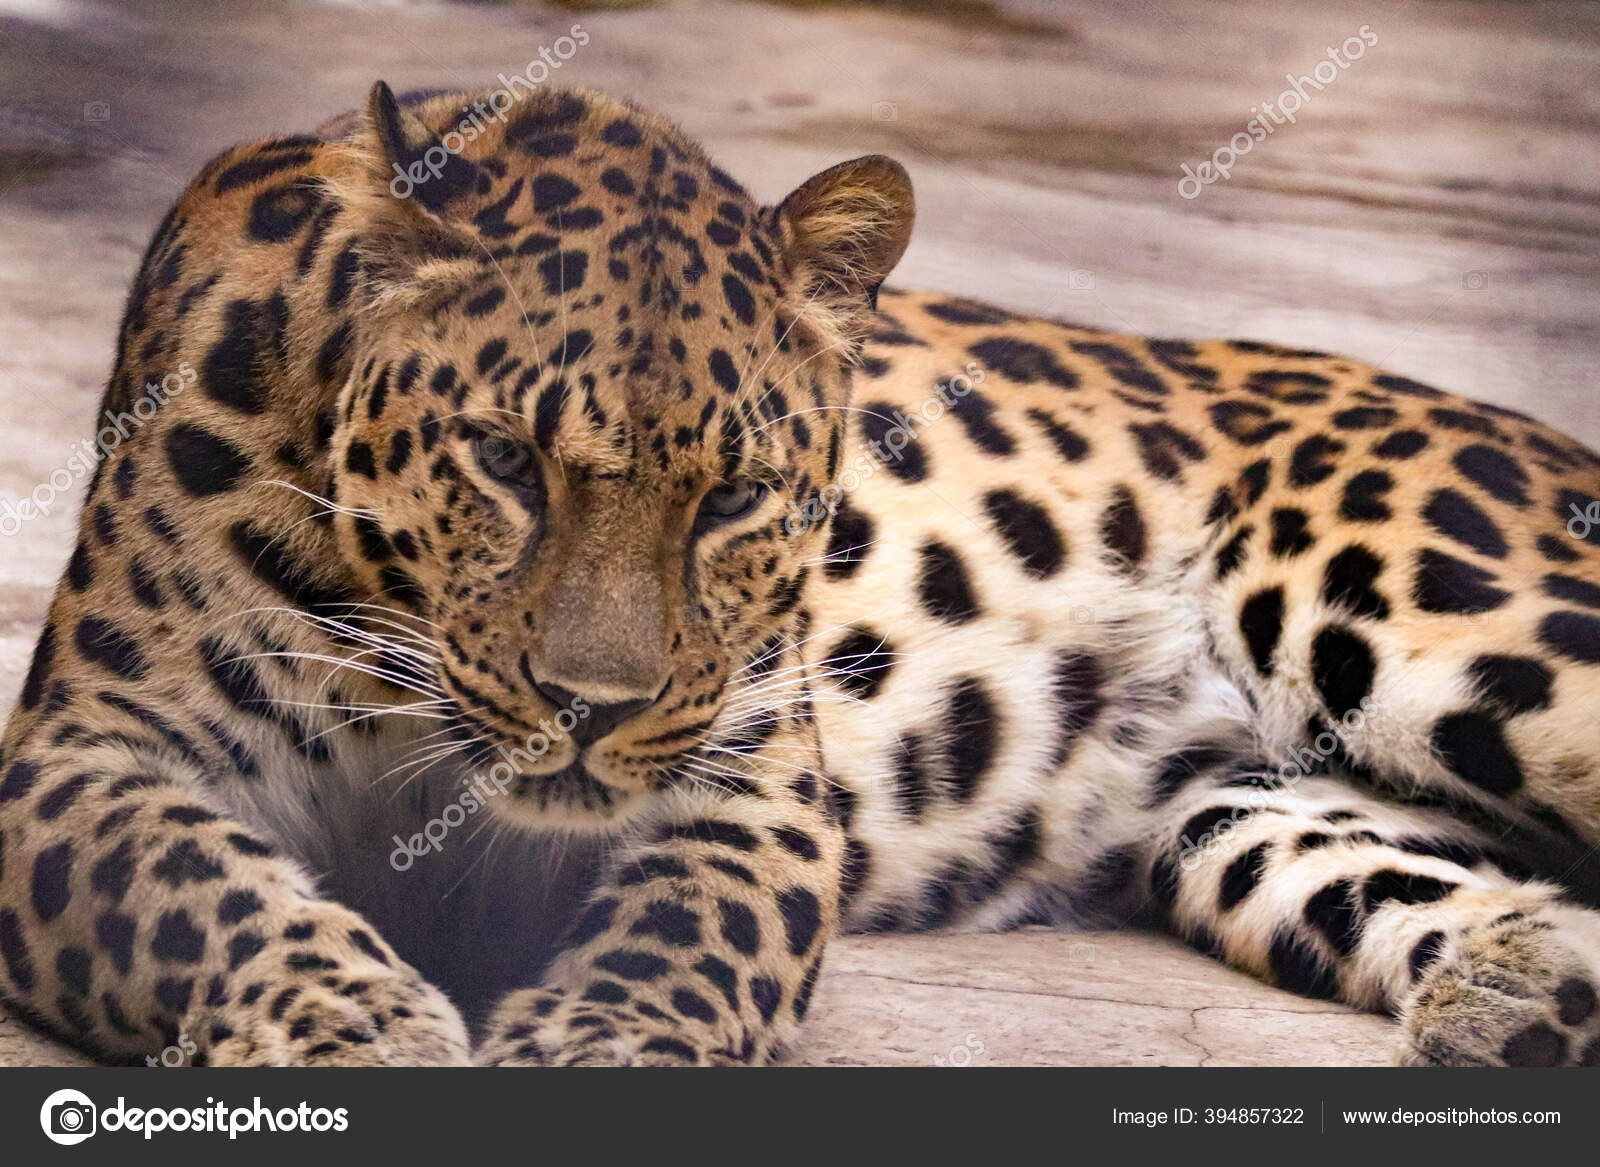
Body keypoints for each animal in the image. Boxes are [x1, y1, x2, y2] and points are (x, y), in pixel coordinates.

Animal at [3, 79, 1599, 1068]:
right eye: (505, 462)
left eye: (735, 498)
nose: (589, 710)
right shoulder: (88, 747)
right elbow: (197, 887)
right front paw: (353, 1028)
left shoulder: (755, 772)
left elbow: (684, 933)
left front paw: (598, 1048)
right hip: (1234, 814)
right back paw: (1527, 987)